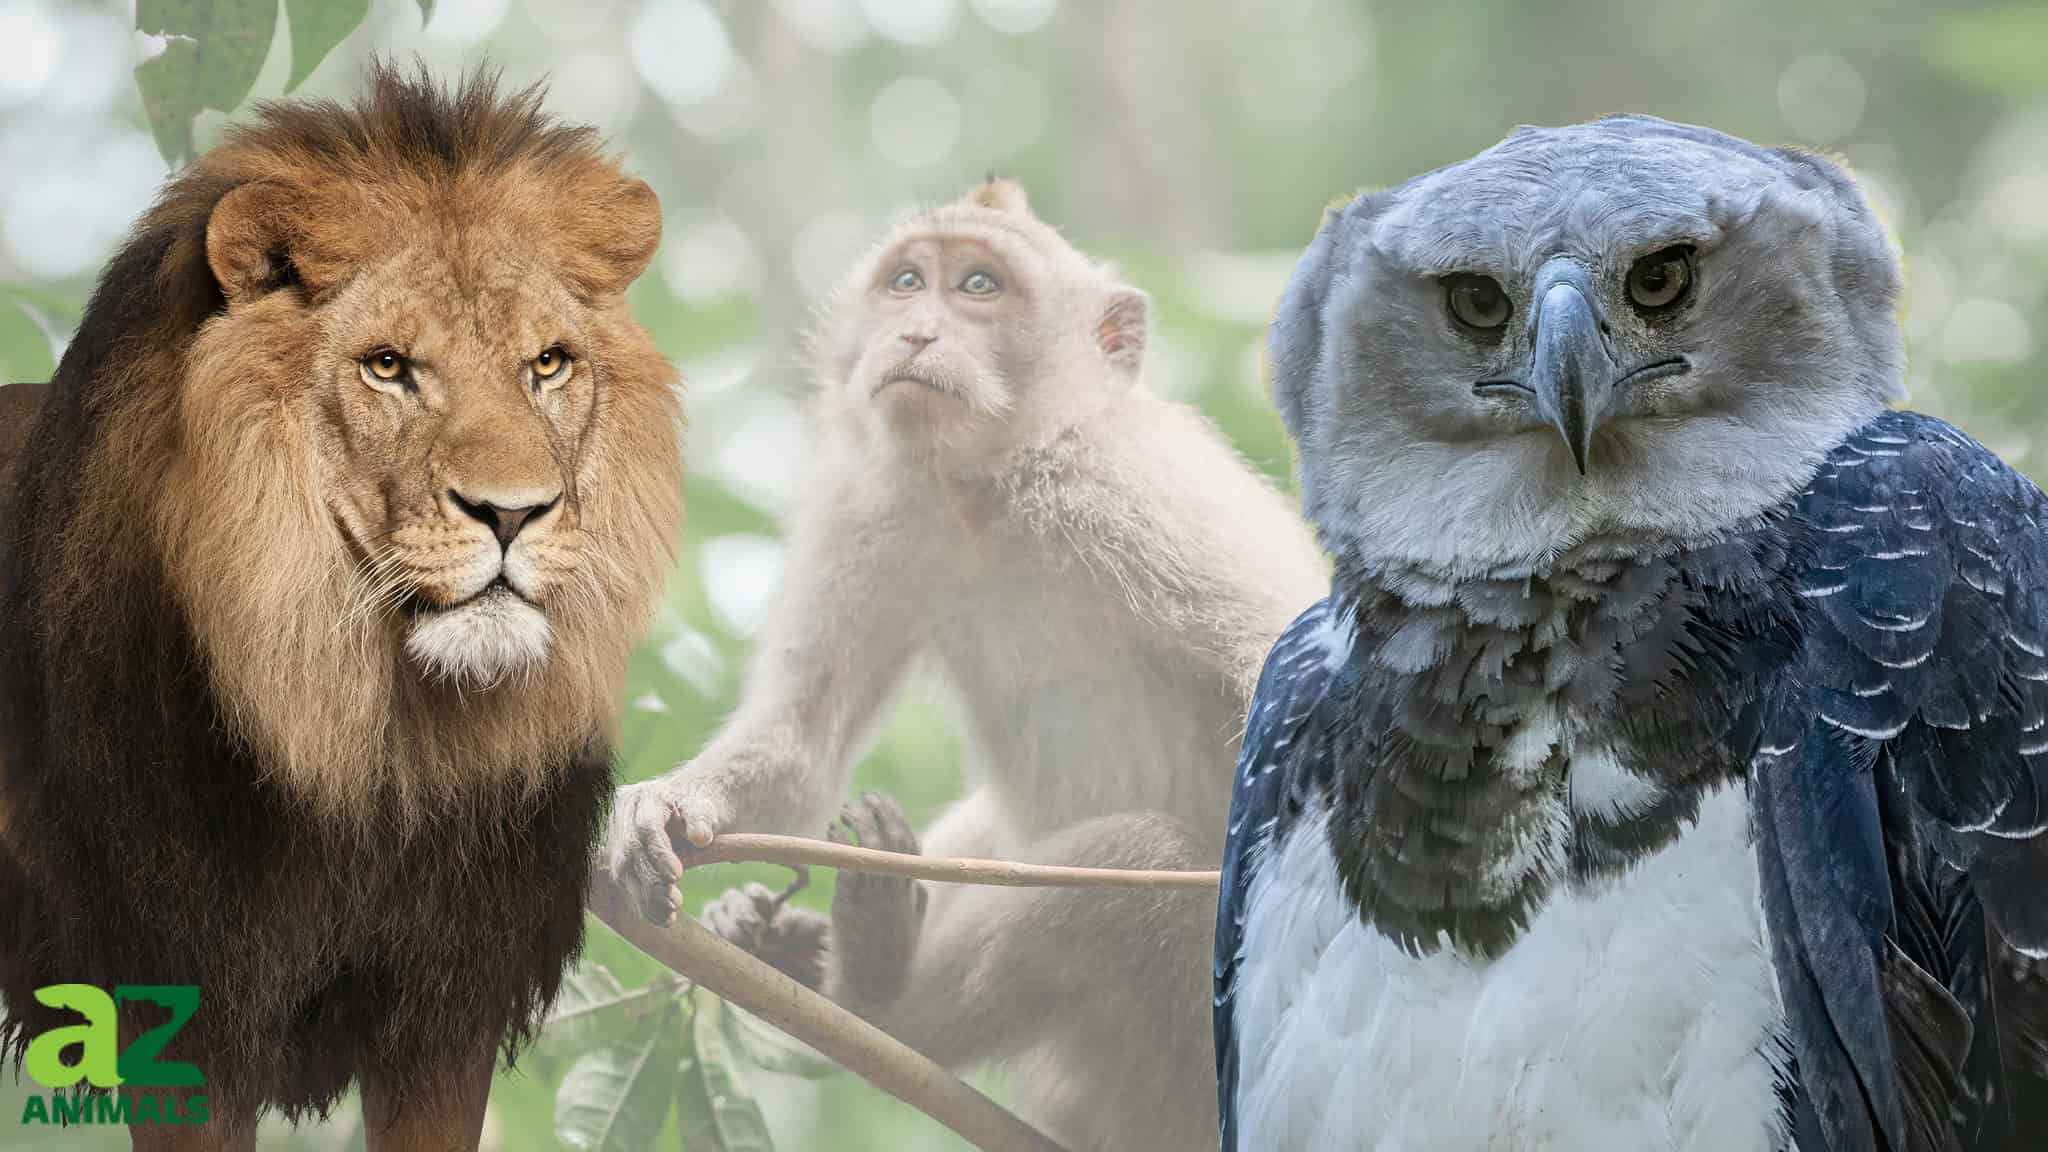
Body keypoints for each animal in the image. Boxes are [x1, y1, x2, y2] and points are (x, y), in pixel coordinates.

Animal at [603, 178, 1328, 1152]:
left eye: (979, 285)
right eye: (908, 281)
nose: (915, 332)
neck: (993, 484)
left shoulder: (1133, 488)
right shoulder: (874, 504)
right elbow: (800, 742)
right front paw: (668, 811)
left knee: (1138, 865)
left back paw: (877, 995)